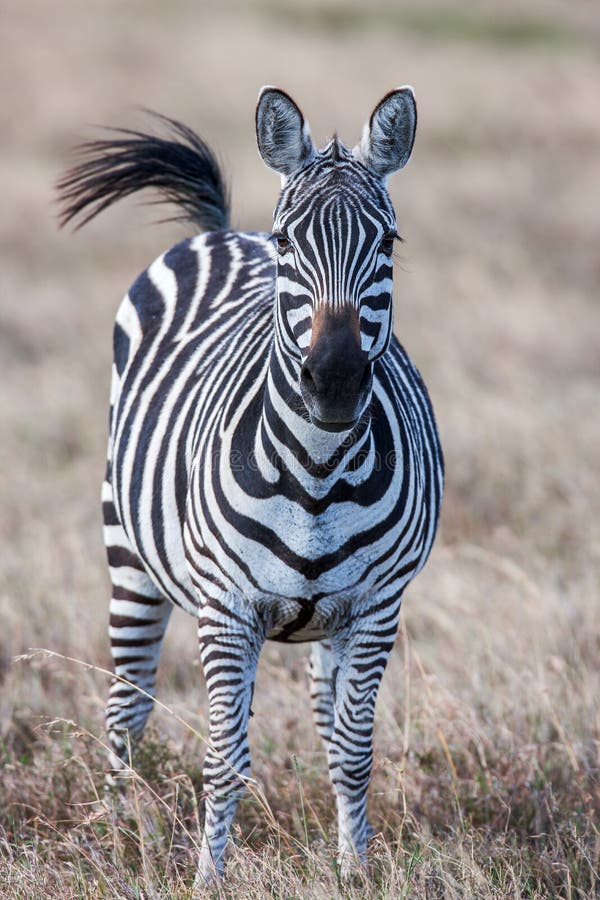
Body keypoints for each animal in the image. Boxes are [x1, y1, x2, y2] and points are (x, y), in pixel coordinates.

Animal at [58, 86, 443, 882]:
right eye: (290, 243)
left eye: (389, 244)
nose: (335, 382)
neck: (319, 470)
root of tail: (225, 233)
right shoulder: (228, 610)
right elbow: (224, 758)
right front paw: (207, 880)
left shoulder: (377, 607)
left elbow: (353, 751)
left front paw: (355, 875)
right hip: (127, 556)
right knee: (126, 706)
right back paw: (115, 836)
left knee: (327, 722)